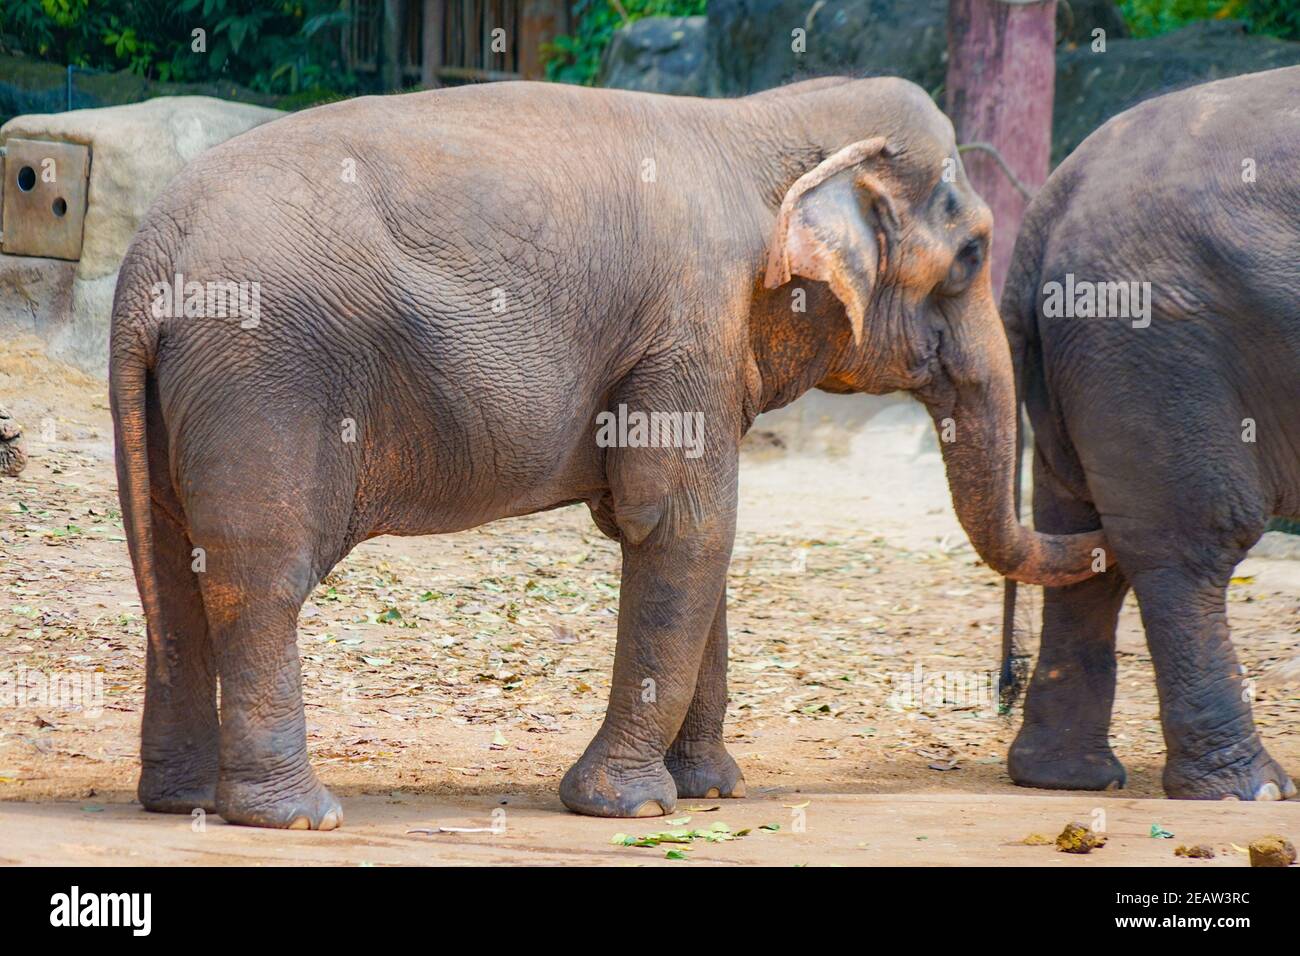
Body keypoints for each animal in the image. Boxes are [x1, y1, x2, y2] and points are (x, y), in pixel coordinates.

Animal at [109, 75, 1104, 829]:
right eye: (973, 255)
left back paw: (181, 801)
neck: (762, 124)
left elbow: (699, 543)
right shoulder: (691, 324)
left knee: (169, 565)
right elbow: (685, 529)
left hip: (179, 396)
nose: (1102, 536)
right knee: (258, 577)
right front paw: (631, 807)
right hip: (264, 374)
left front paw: (711, 789)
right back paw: (295, 816)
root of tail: (144, 263)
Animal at [1001, 67, 1299, 801]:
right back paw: (1251, 791)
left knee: (1082, 539)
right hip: (1154, 341)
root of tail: (1052, 200)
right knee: (1188, 540)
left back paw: (1067, 780)